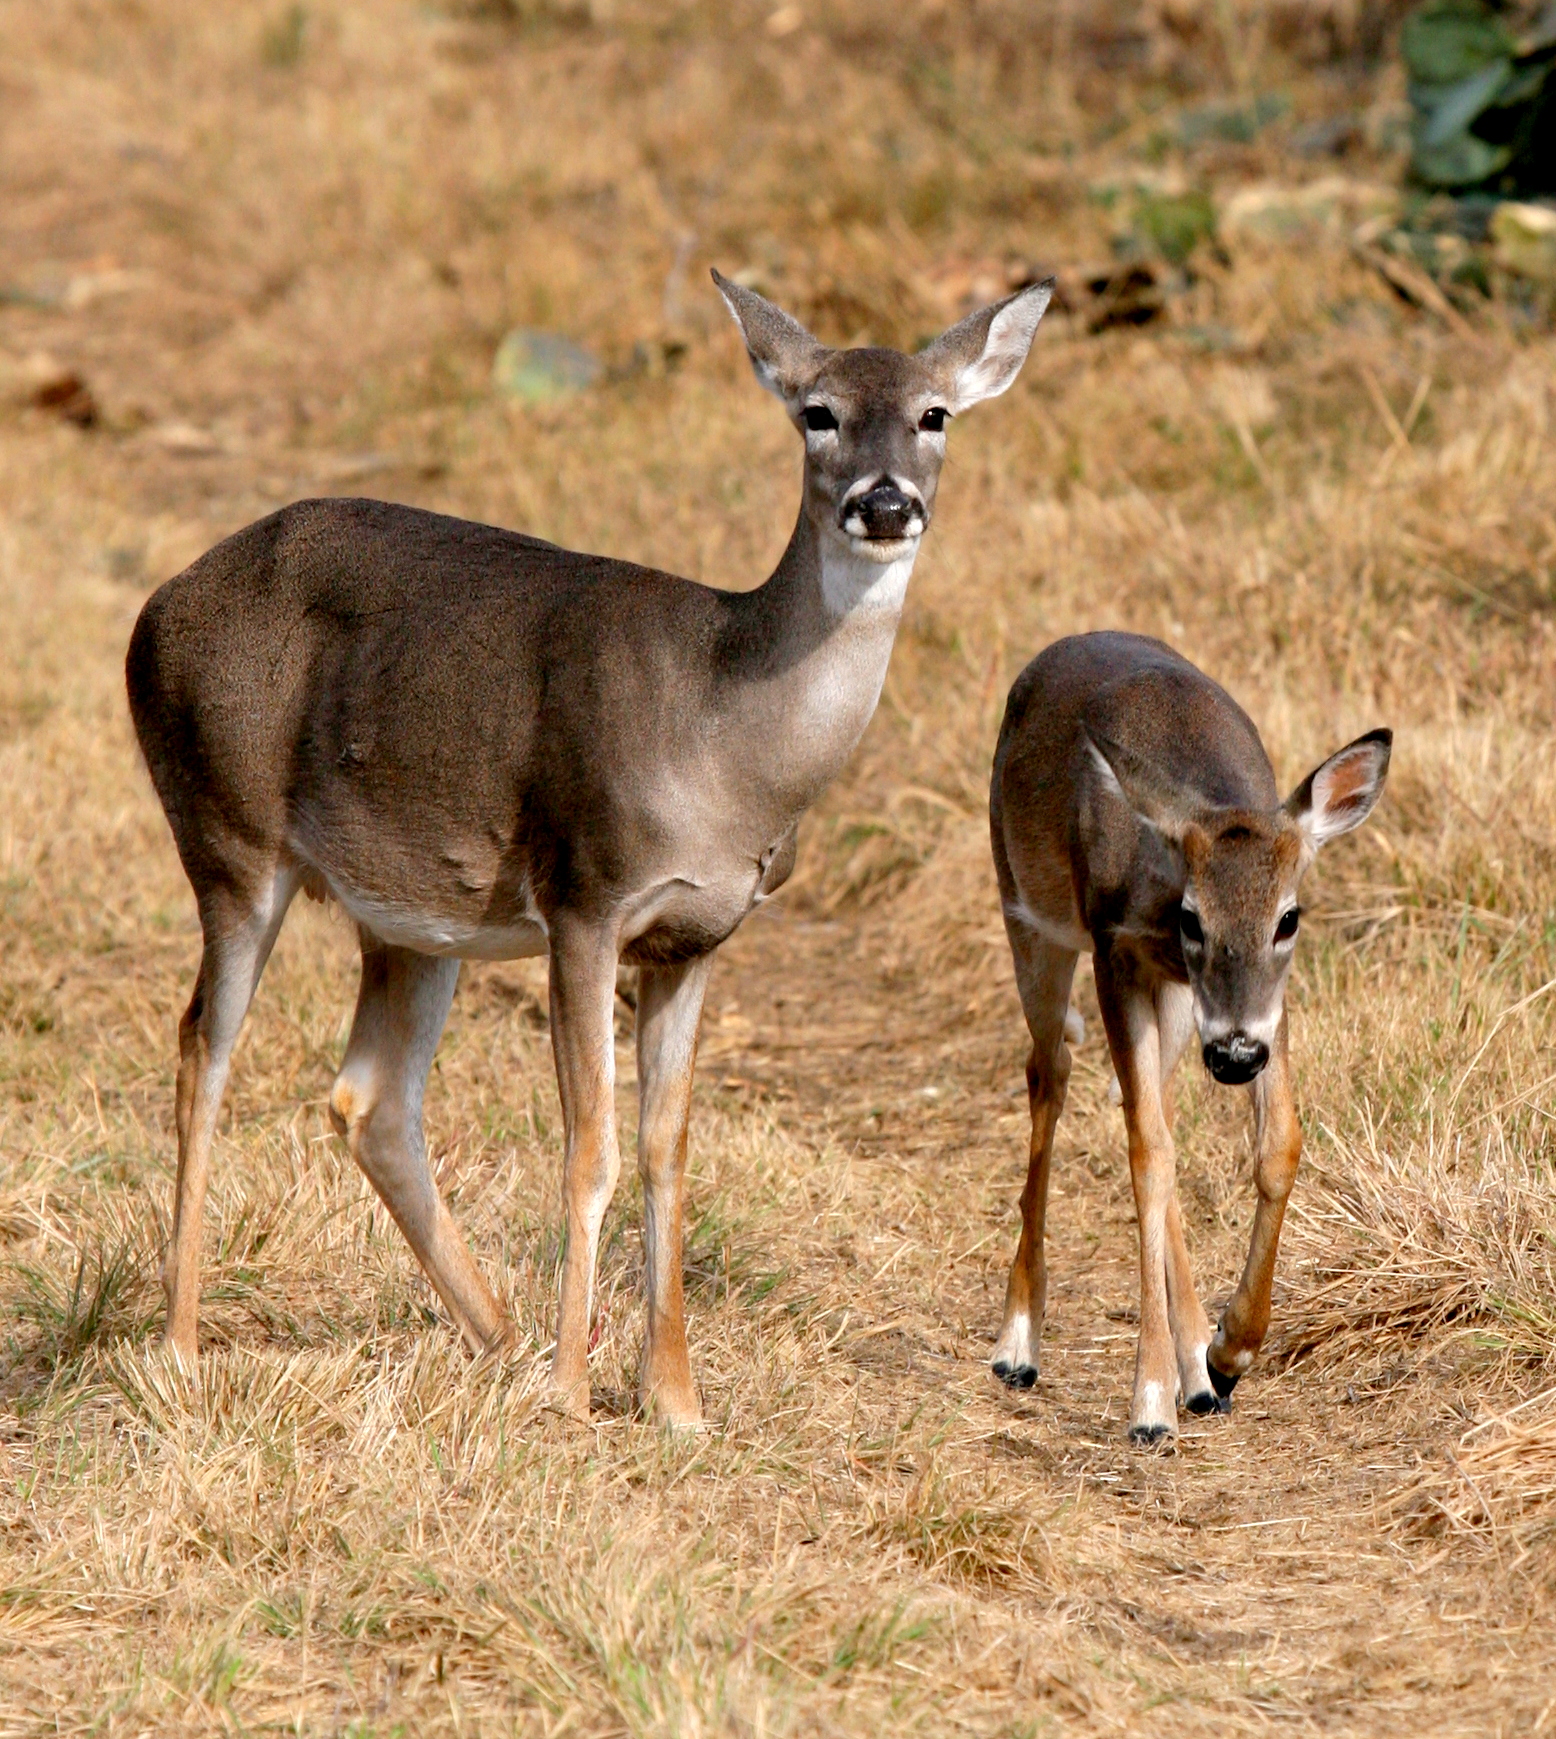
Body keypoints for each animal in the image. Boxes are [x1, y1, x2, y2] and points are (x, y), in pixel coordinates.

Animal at [125, 269, 1054, 1426]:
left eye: (934, 414)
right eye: (817, 411)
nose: (883, 504)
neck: (728, 738)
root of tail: (156, 609)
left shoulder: (695, 939)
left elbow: (666, 1151)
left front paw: (676, 1399)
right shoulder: (586, 893)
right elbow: (590, 1151)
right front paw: (575, 1392)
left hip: (413, 913)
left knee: (370, 1098)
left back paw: (497, 1336)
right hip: (228, 832)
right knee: (201, 1050)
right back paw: (181, 1342)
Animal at [987, 631, 1390, 1445]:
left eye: (1288, 918)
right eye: (1193, 919)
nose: (1234, 1055)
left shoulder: (1263, 1003)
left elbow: (1278, 1143)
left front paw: (1229, 1350)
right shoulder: (1114, 950)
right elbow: (1147, 1154)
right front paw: (1148, 1399)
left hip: (1171, 1010)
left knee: (1145, 1106)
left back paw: (1199, 1374)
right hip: (1027, 915)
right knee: (1051, 1073)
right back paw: (1019, 1343)